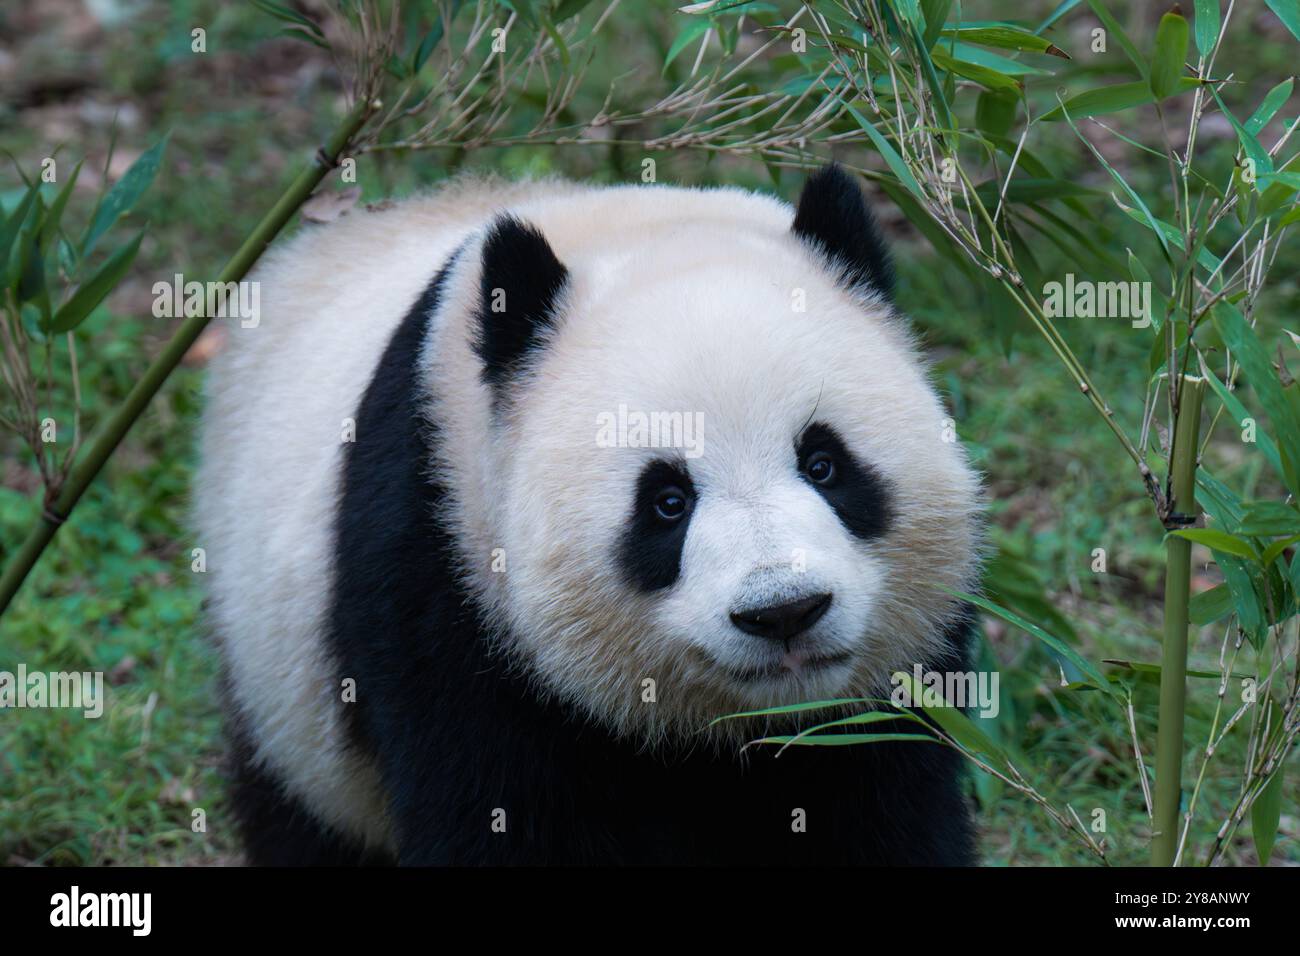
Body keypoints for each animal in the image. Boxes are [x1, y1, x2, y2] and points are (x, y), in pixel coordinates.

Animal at [194, 164, 983, 866]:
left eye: (823, 464)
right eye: (666, 502)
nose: (783, 611)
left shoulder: (894, 681)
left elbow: (884, 811)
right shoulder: (443, 574)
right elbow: (499, 816)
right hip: (286, 704)